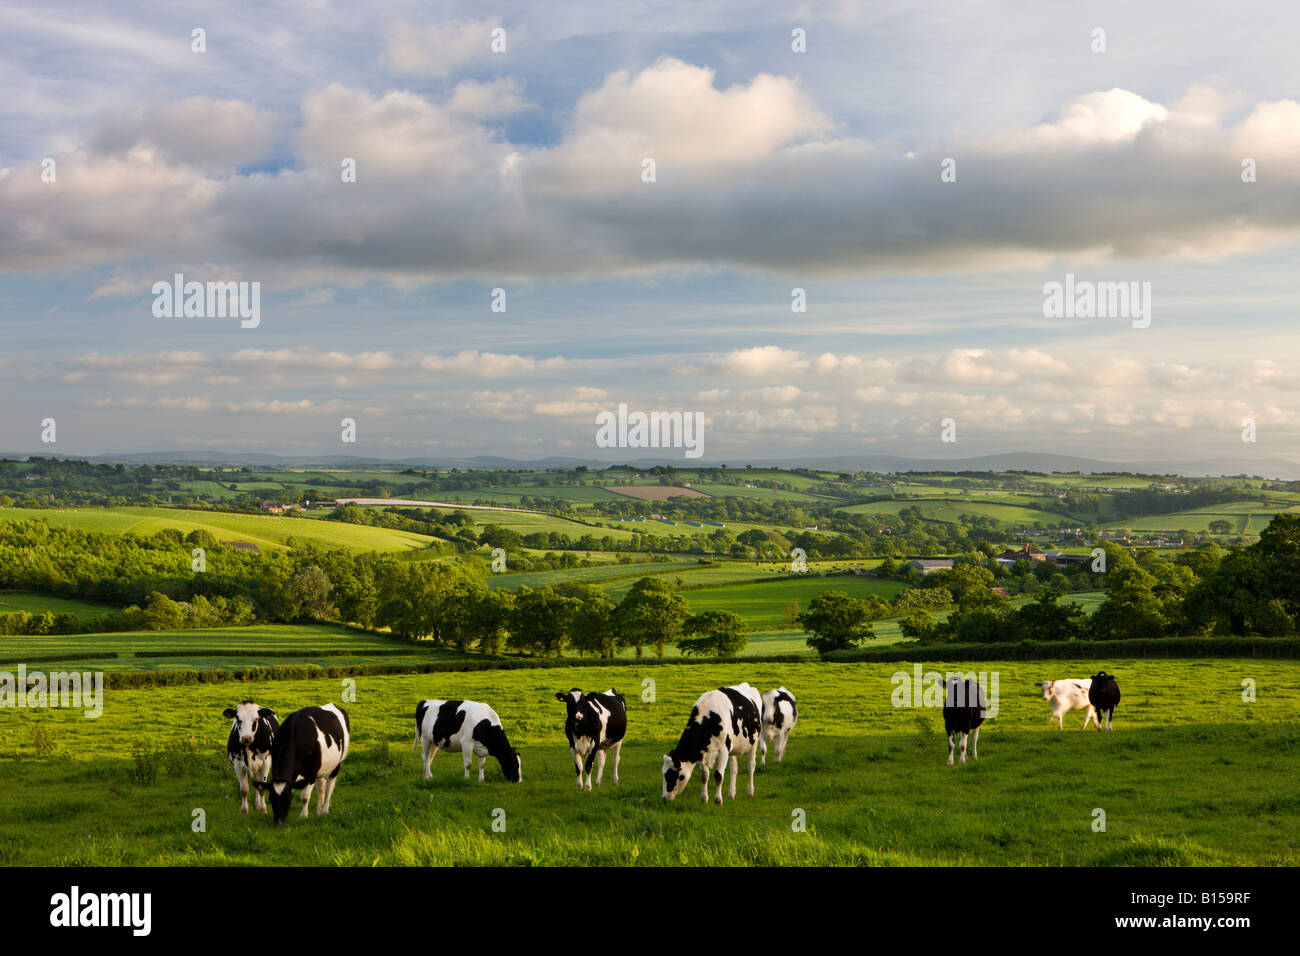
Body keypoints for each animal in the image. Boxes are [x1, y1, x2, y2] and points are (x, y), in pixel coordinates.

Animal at [249, 697, 348, 827]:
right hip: (322, 768)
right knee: (321, 788)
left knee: (329, 787)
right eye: (271, 798)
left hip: (337, 765)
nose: (279, 821)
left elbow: (305, 797)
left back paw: (325, 810)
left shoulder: (311, 773)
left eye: (288, 798)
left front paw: (303, 816)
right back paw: (318, 812)